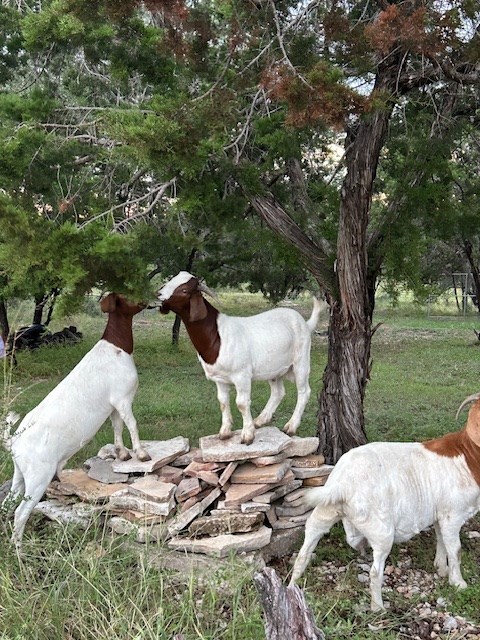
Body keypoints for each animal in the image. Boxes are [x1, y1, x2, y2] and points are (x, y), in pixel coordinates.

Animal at [2, 293, 150, 548]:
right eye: (125, 295)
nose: (146, 299)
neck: (116, 349)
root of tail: (14, 442)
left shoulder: (112, 405)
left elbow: (117, 426)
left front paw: (122, 454)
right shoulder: (122, 397)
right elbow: (131, 424)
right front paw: (141, 454)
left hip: (20, 473)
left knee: (8, 502)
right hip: (38, 476)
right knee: (21, 511)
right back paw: (19, 548)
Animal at [157, 271, 323, 445]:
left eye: (184, 290)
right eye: (171, 280)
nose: (158, 294)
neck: (218, 336)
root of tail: (306, 323)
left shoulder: (241, 375)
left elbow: (242, 403)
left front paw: (247, 435)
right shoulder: (220, 379)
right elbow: (223, 402)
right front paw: (224, 433)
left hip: (301, 360)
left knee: (304, 391)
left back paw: (291, 426)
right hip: (273, 369)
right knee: (278, 392)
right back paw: (260, 420)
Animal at [289, 393, 480, 611]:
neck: (467, 456)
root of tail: (343, 483)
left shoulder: (440, 513)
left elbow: (441, 540)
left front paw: (441, 568)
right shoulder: (452, 514)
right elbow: (455, 550)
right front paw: (458, 583)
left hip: (324, 513)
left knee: (304, 552)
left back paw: (291, 589)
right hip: (381, 530)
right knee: (374, 571)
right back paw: (378, 607)